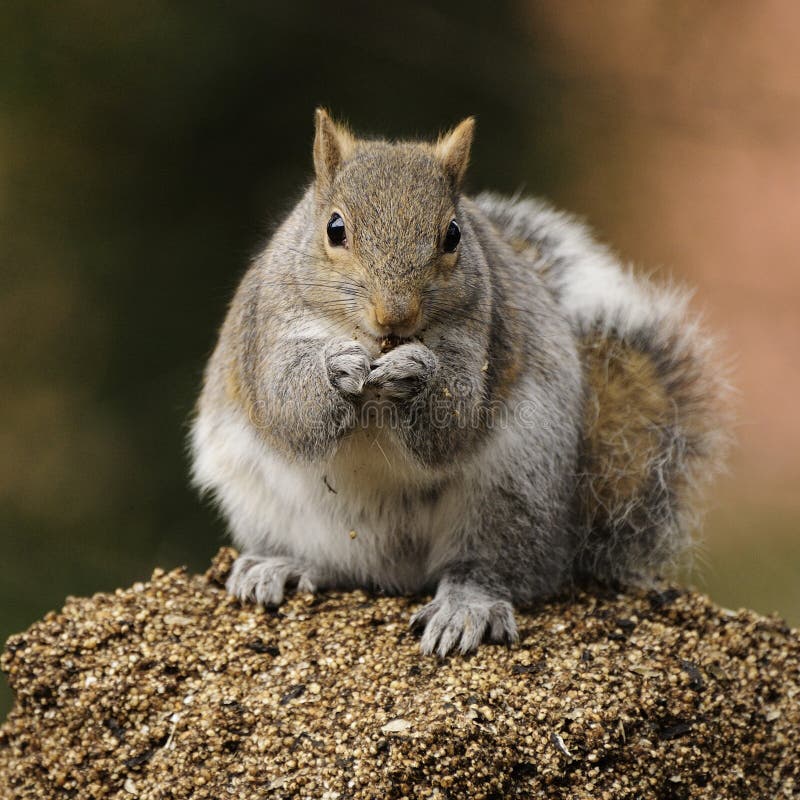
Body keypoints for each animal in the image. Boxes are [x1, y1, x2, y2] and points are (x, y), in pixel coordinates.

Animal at [191, 109, 729, 657]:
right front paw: (337, 368)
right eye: (334, 228)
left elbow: (456, 418)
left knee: (492, 568)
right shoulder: (267, 329)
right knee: (339, 568)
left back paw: (466, 606)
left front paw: (416, 373)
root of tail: (399, 572)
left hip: (514, 492)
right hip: (264, 499)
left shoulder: (481, 336)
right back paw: (281, 565)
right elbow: (285, 404)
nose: (396, 316)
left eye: (452, 235)